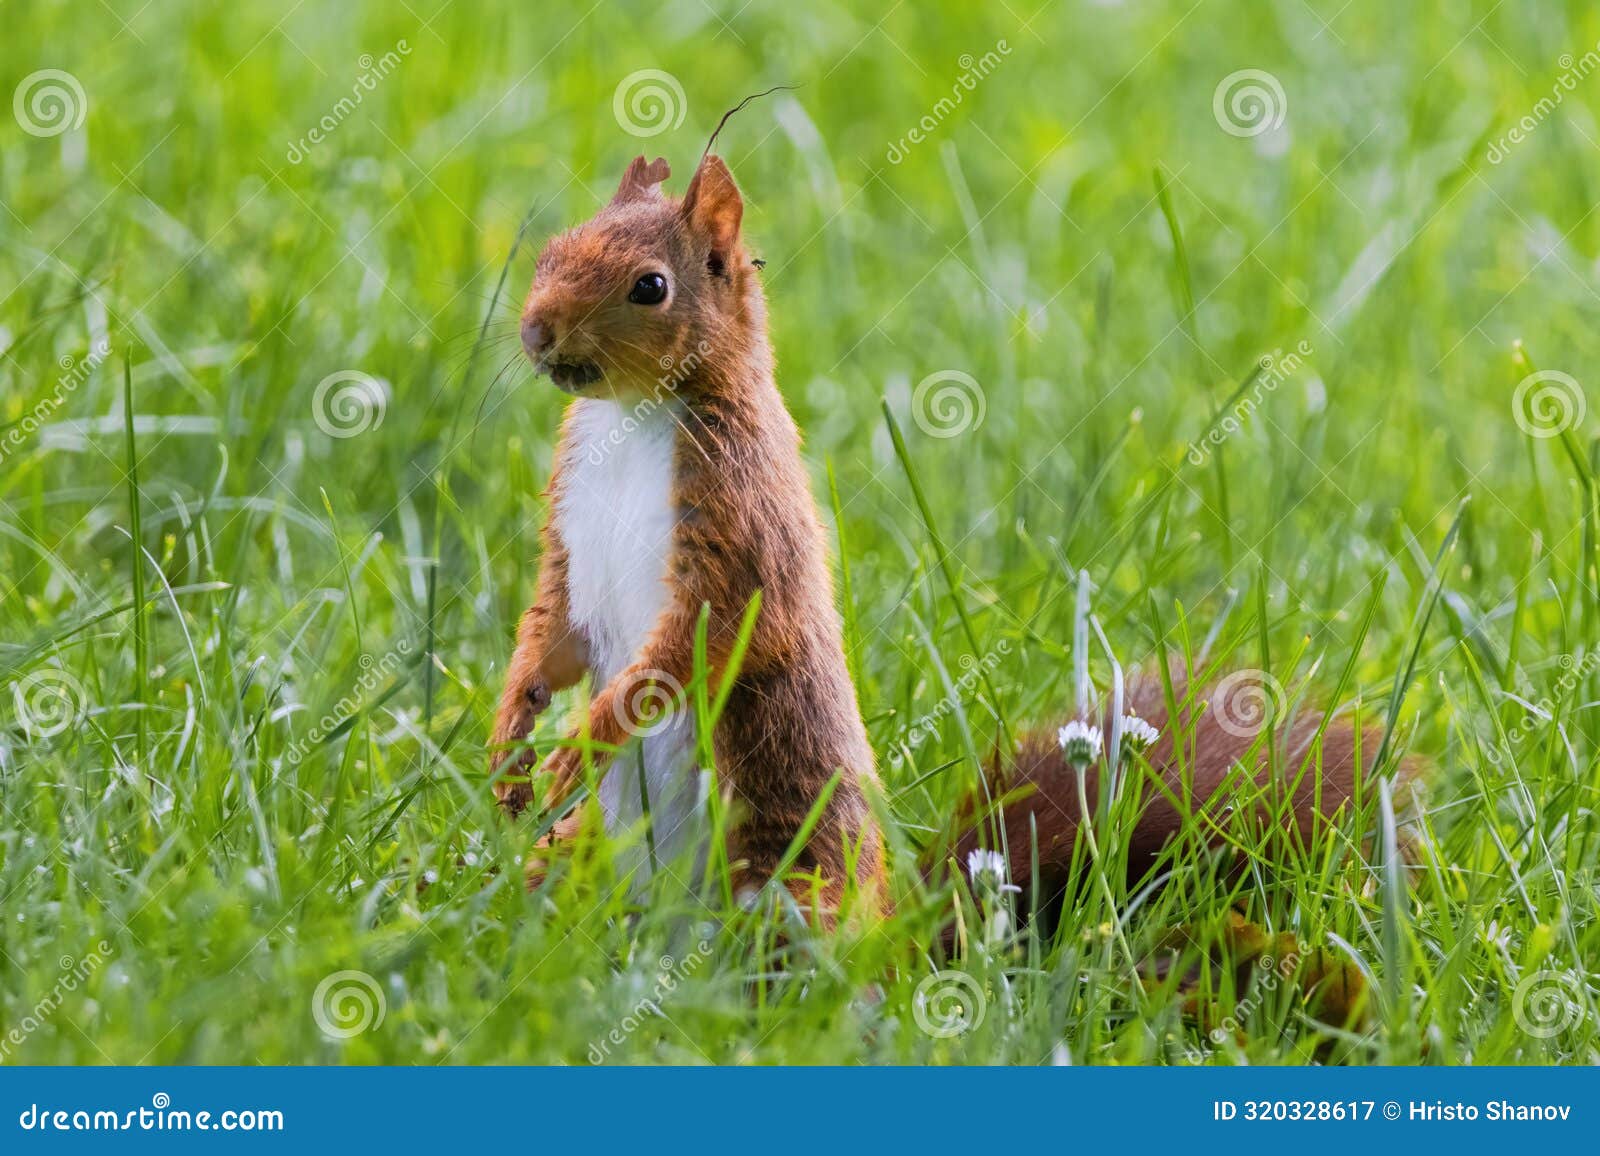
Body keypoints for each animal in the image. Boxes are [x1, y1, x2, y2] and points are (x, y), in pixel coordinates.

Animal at [490, 152, 1409, 927]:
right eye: (550, 249)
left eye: (651, 286)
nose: (536, 332)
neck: (631, 418)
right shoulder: (568, 538)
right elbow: (551, 631)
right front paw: (510, 745)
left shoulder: (739, 528)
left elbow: (693, 647)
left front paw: (579, 748)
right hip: (584, 858)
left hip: (792, 867)